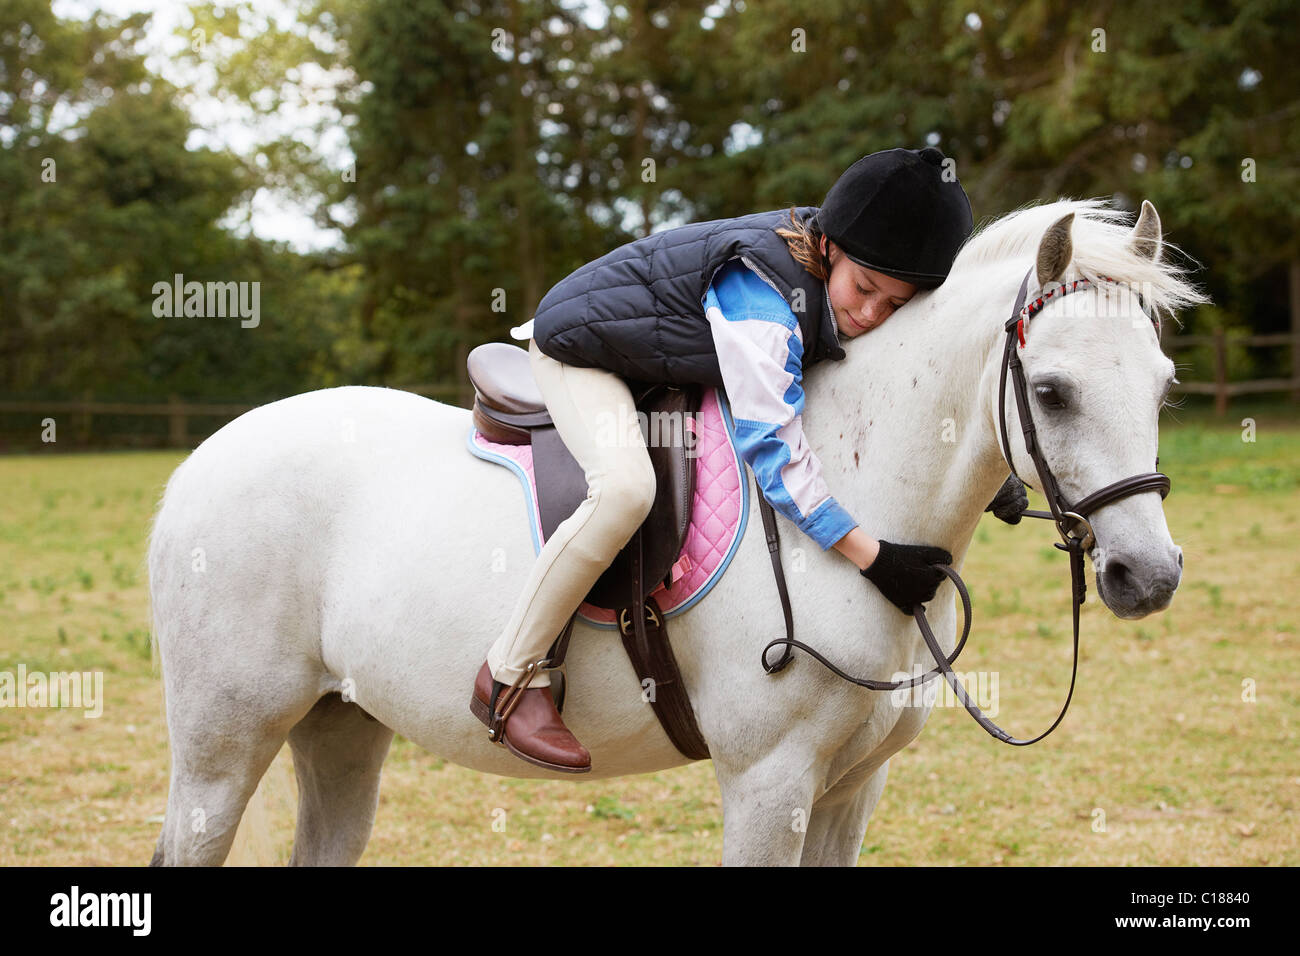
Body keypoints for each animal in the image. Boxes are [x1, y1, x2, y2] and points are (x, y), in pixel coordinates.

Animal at [147, 198, 1206, 866]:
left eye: (1163, 385)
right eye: (1052, 392)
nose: (1148, 575)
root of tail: (198, 463)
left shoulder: (850, 788)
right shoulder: (770, 783)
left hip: (340, 724)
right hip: (223, 747)